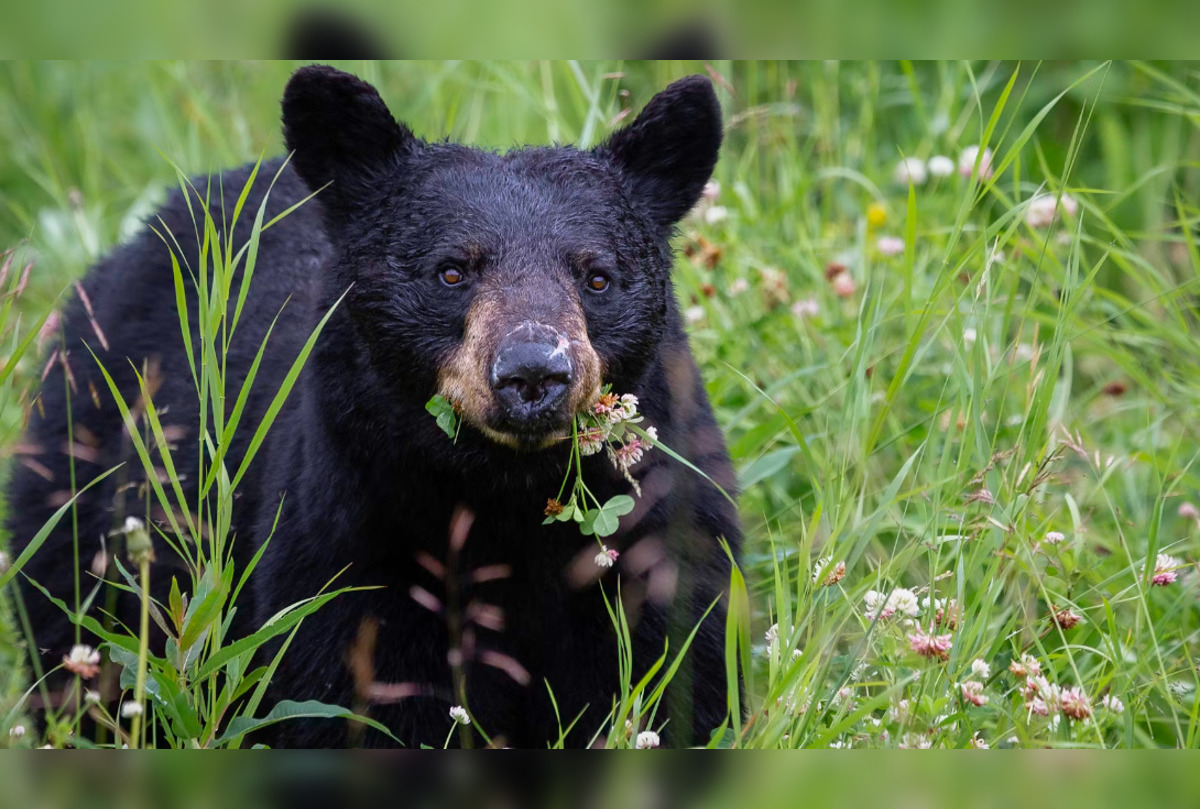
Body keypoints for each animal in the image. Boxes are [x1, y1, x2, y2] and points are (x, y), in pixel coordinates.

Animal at [5, 64, 741, 748]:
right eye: (452, 270)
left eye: (597, 276)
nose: (534, 372)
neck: (507, 498)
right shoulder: (351, 541)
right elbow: (357, 696)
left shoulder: (659, 538)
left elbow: (678, 675)